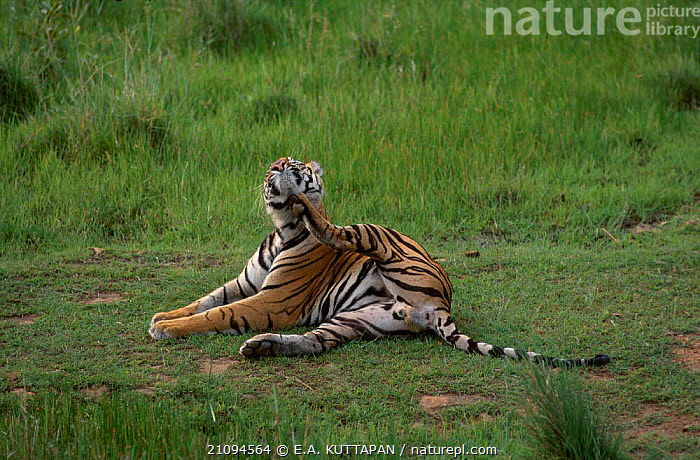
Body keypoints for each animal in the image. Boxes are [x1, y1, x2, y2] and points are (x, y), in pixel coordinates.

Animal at [149, 157, 610, 367]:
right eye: (273, 167)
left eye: (294, 166)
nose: (279, 168)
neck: (281, 226)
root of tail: (439, 304)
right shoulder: (246, 283)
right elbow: (206, 300)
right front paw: (162, 316)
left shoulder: (272, 300)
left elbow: (219, 313)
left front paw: (166, 329)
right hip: (355, 320)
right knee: (313, 343)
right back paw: (261, 347)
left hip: (376, 234)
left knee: (338, 229)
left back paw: (314, 216)